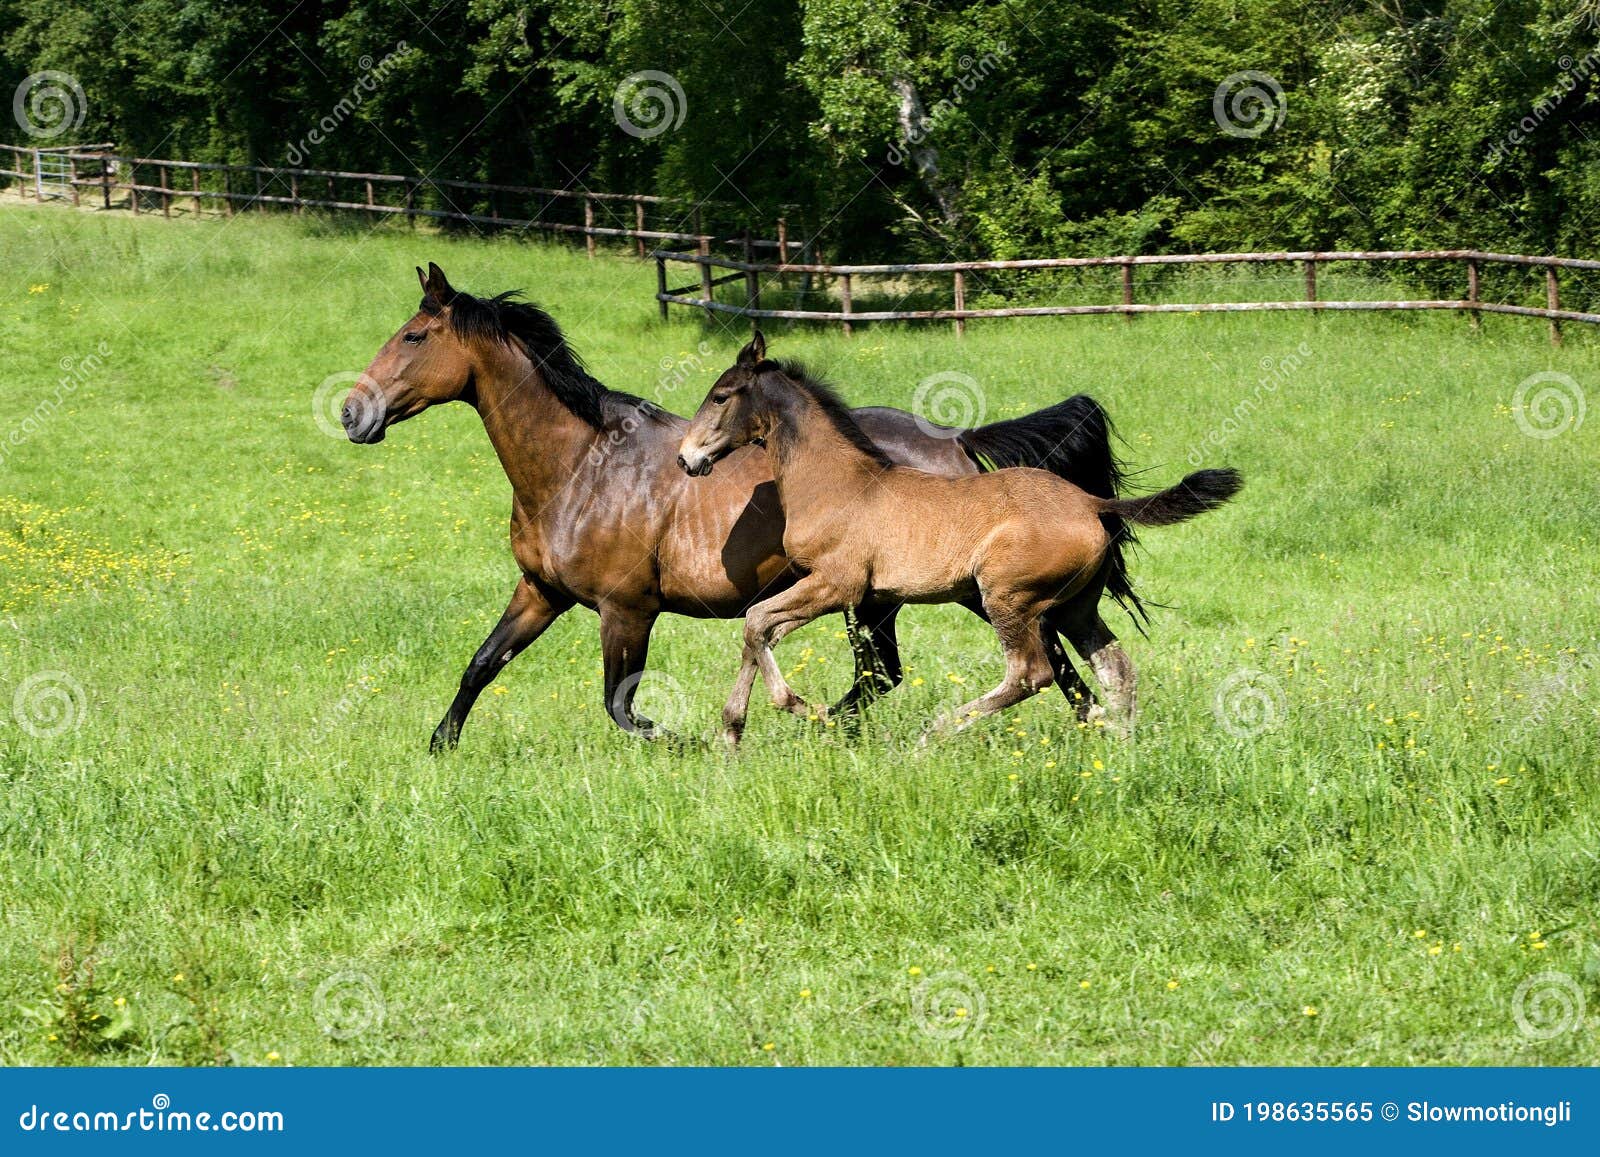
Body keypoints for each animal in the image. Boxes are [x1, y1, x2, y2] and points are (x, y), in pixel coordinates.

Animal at [343, 263, 1139, 745]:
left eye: (414, 335)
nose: (353, 413)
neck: (579, 469)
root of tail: (959, 441)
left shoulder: (626, 609)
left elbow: (621, 707)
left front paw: (689, 740)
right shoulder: (541, 590)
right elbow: (481, 664)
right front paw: (439, 749)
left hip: (951, 591)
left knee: (1037, 660)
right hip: (881, 599)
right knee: (896, 674)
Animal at [676, 333, 1243, 744]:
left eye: (720, 396)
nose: (687, 458)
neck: (839, 482)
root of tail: (1091, 503)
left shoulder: (838, 585)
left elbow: (757, 623)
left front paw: (800, 707)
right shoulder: (843, 593)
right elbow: (759, 630)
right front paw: (738, 730)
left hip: (1007, 597)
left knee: (1030, 672)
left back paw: (937, 732)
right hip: (1076, 607)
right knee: (1116, 669)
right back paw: (1122, 754)